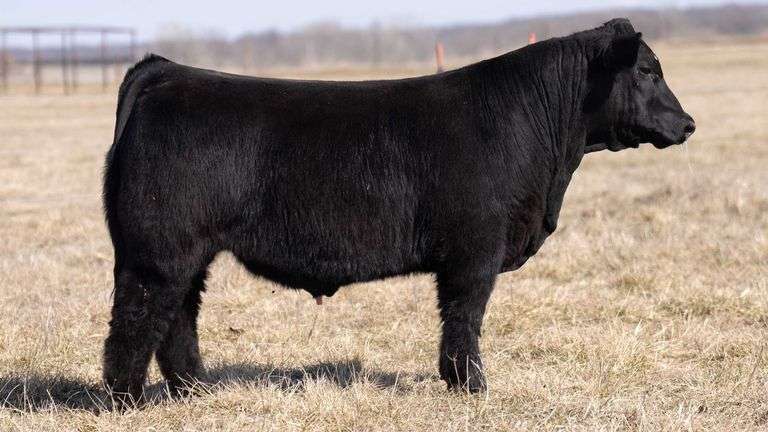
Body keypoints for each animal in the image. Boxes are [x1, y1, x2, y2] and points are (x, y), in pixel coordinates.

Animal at [101, 18, 695, 402]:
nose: (687, 124)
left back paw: (193, 391)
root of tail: (167, 71)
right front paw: (471, 387)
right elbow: (464, 317)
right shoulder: (475, 251)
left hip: (187, 253)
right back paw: (126, 400)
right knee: (136, 320)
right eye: (646, 71)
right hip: (158, 252)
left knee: (177, 317)